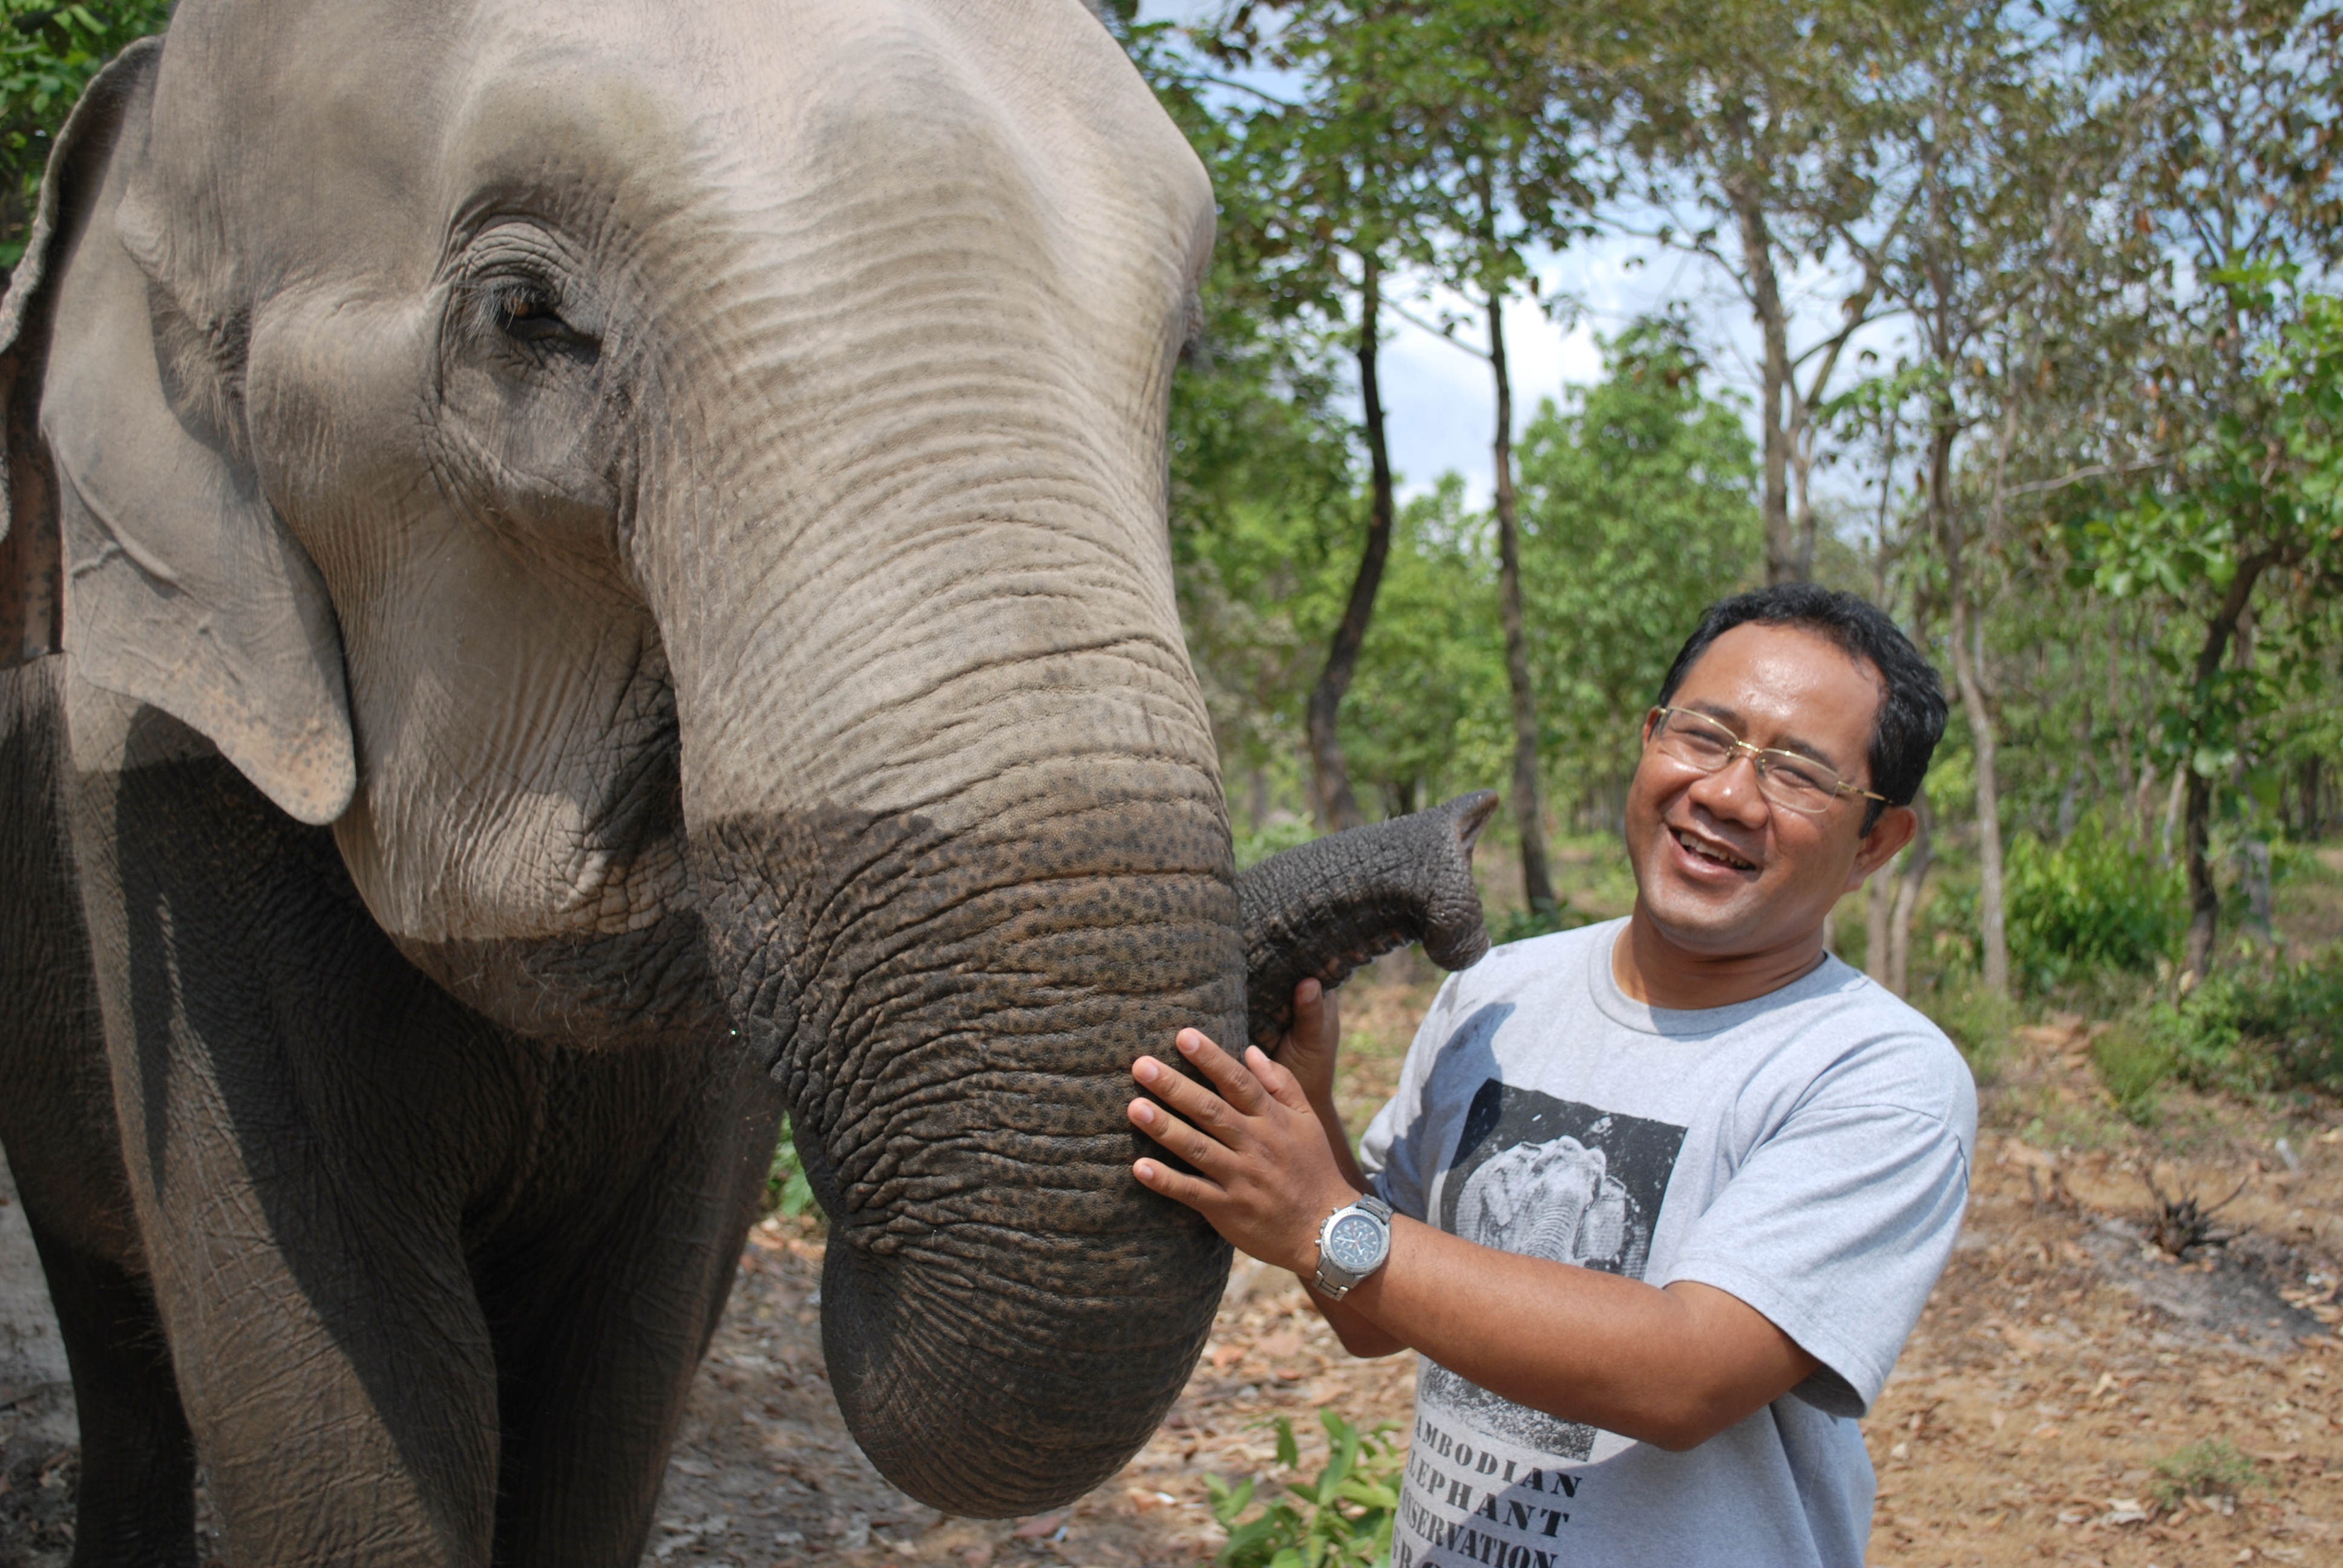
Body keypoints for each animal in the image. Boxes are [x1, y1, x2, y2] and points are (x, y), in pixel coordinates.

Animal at [0, 2, 1496, 1563]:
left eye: (1185, 344)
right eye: (523, 316)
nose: (1459, 853)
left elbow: (611, 1388)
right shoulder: (156, 800)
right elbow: (359, 1419)